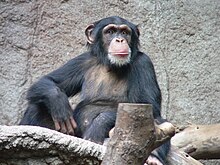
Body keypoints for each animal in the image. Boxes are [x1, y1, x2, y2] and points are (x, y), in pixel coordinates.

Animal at [19, 15, 170, 165]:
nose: (120, 39)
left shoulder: (144, 63)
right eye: (110, 32)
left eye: (125, 32)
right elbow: (48, 81)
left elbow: (151, 107)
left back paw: (153, 158)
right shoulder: (82, 60)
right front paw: (59, 103)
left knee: (158, 121)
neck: (111, 65)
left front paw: (99, 125)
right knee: (37, 106)